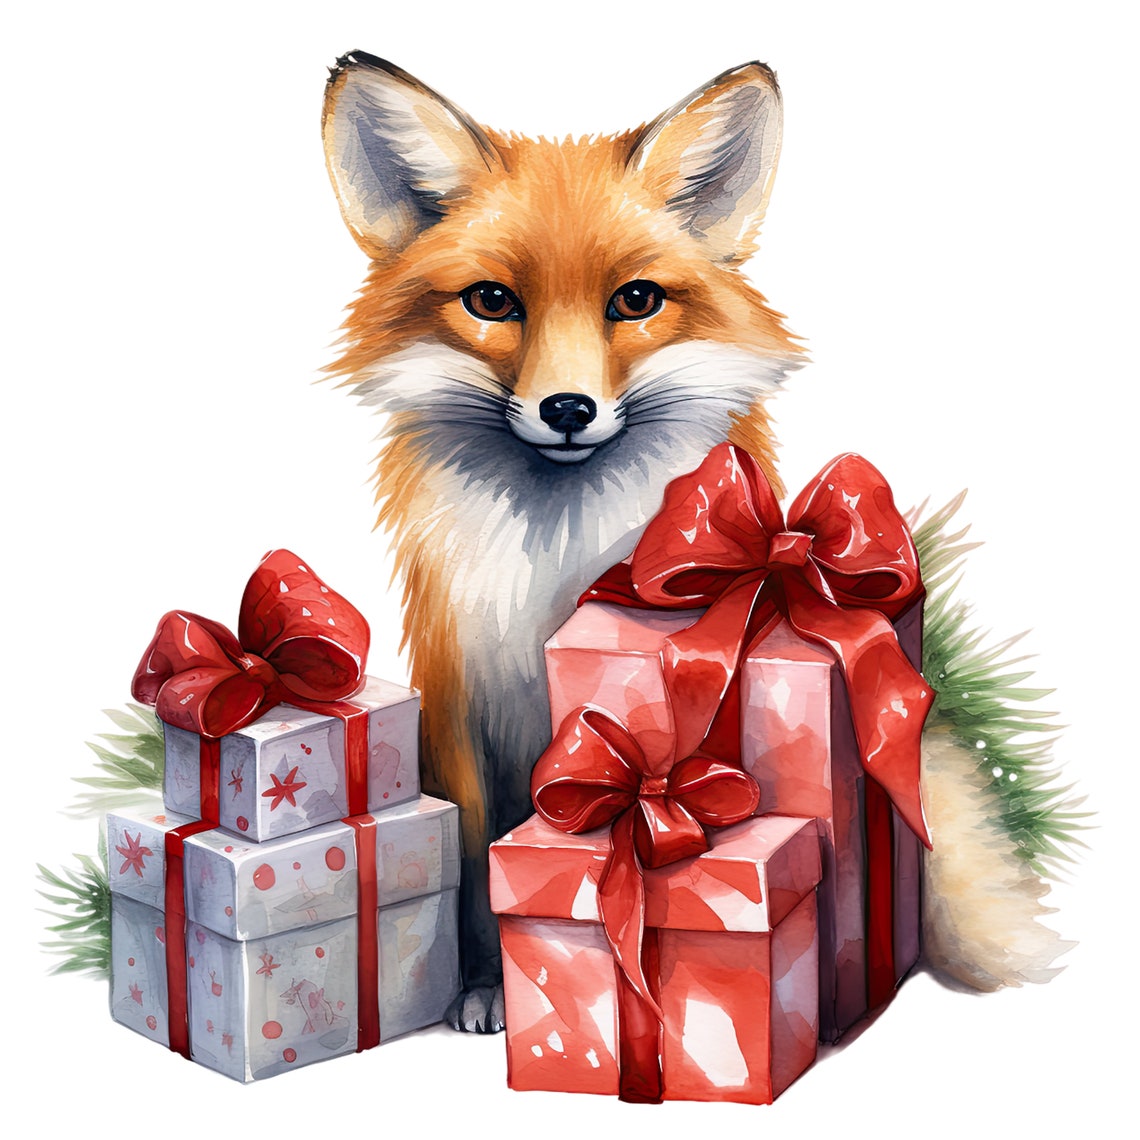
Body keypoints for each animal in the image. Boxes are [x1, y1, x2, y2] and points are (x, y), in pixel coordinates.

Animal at [320, 52, 1070, 1032]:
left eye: (635, 300)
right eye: (492, 302)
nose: (568, 410)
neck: (559, 557)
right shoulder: (459, 703)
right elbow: (478, 858)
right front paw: (482, 984)